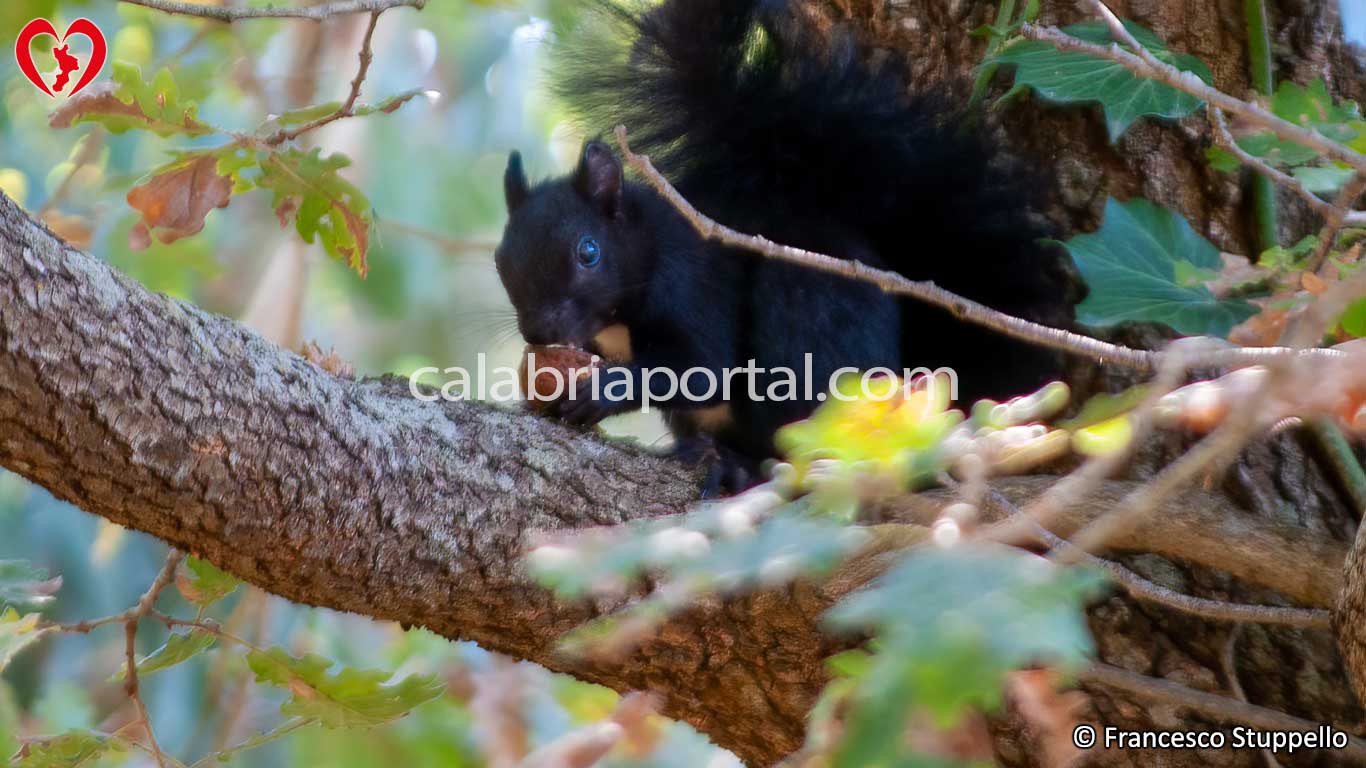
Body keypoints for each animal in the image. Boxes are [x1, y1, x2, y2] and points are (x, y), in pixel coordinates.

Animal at [494, 0, 1078, 491]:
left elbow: (697, 368)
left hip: (808, 335)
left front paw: (603, 391)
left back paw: (745, 465)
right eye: (500, 260)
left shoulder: (691, 283)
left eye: (588, 252)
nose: (539, 329)